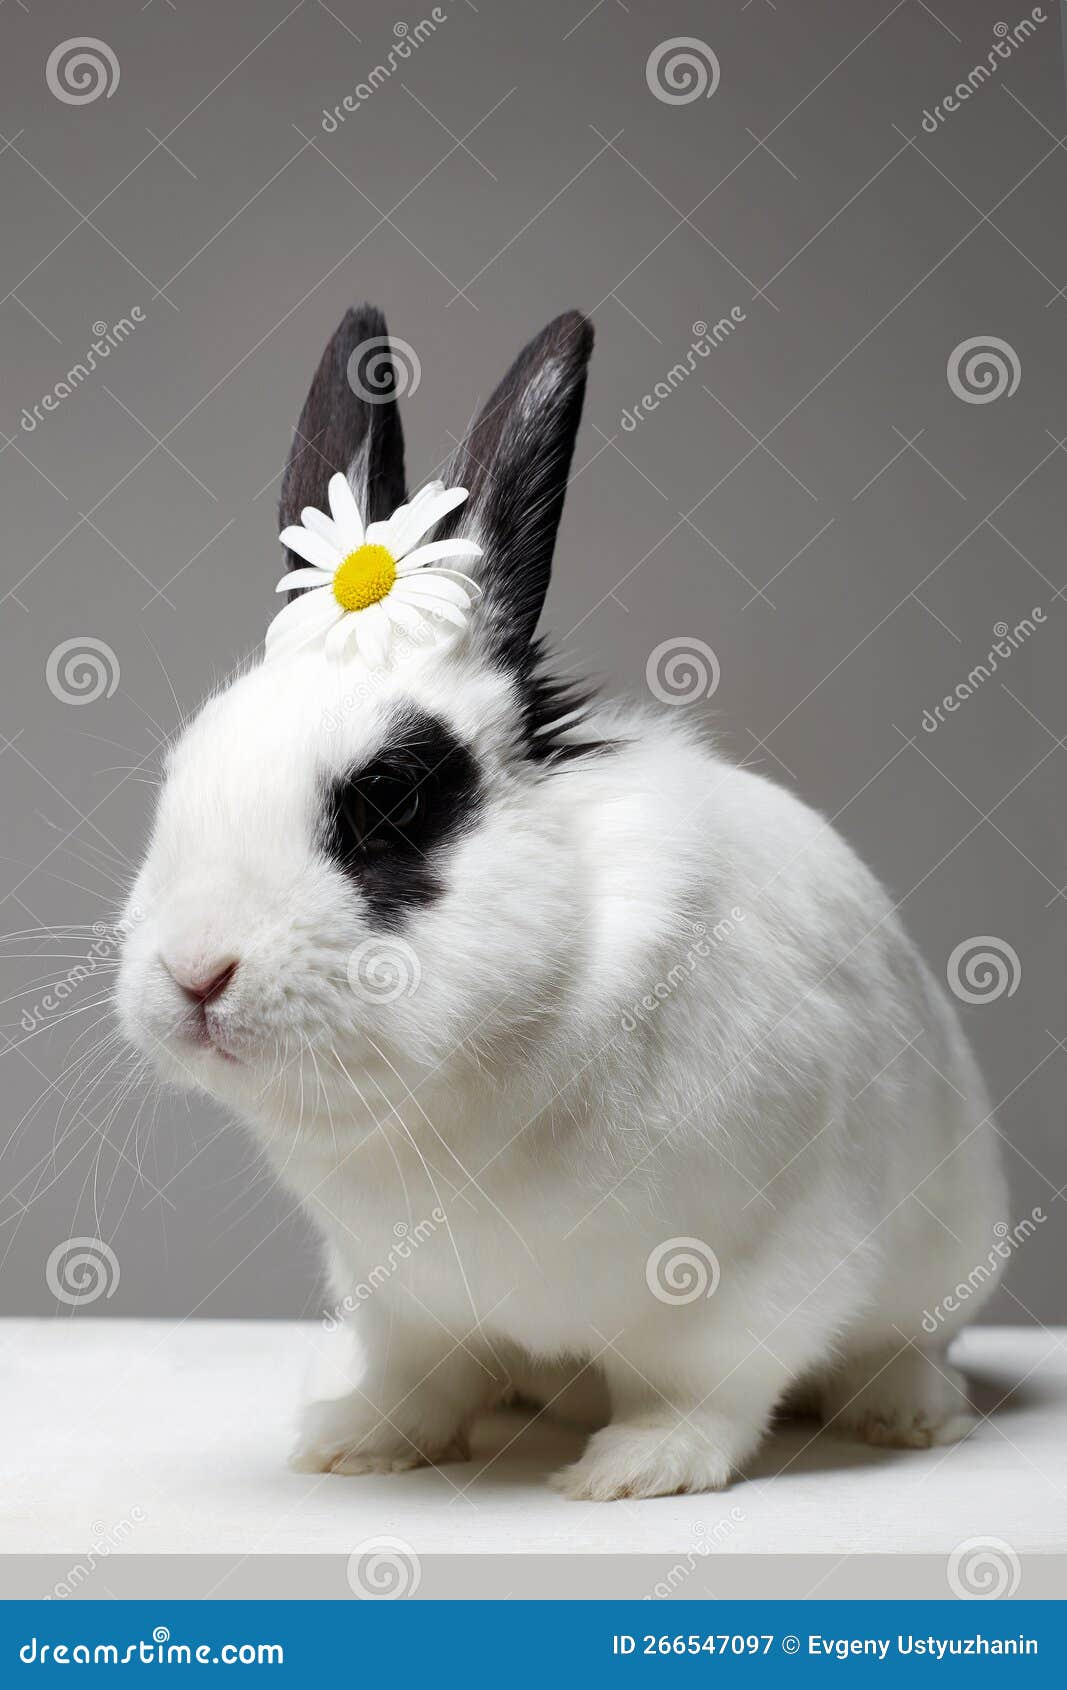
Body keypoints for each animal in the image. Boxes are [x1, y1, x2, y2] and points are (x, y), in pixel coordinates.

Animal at [116, 304, 1008, 1501]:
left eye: (389, 800)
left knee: (901, 1344)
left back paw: (905, 1415)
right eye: (179, 776)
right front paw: (352, 1441)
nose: (194, 971)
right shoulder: (400, 1298)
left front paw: (634, 1469)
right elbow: (418, 1380)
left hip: (939, 1253)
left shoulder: (759, 1268)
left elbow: (708, 1390)